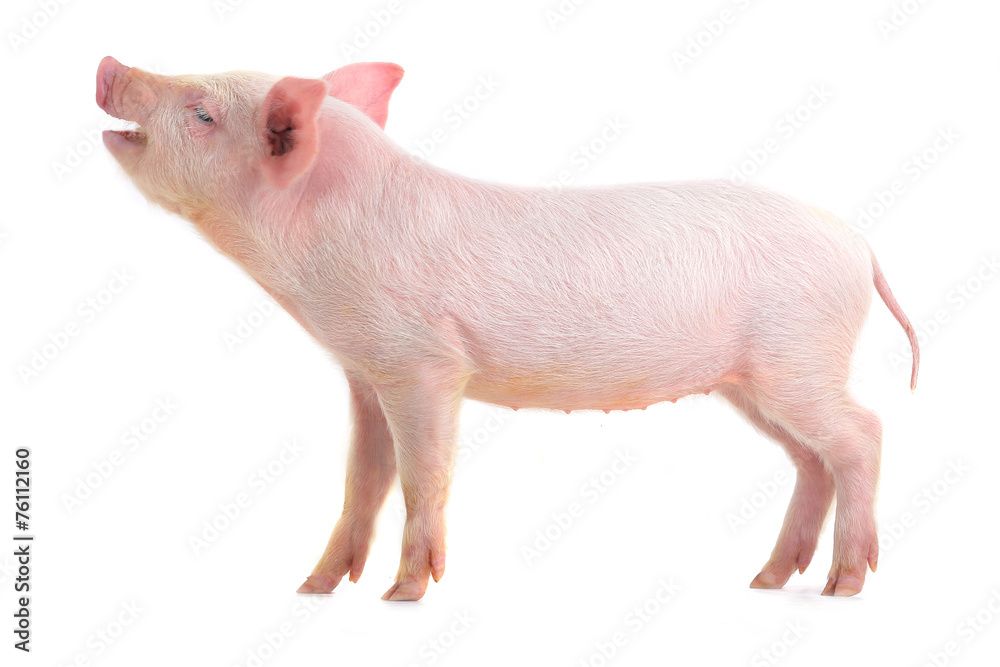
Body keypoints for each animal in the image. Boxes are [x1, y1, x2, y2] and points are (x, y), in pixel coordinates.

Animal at [96, 56, 919, 600]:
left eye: (203, 111)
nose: (110, 62)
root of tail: (860, 244)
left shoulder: (425, 362)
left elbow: (423, 472)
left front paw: (405, 593)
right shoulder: (365, 368)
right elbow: (363, 477)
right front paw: (313, 588)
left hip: (799, 358)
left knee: (866, 431)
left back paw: (844, 586)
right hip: (752, 381)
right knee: (814, 459)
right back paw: (765, 580)